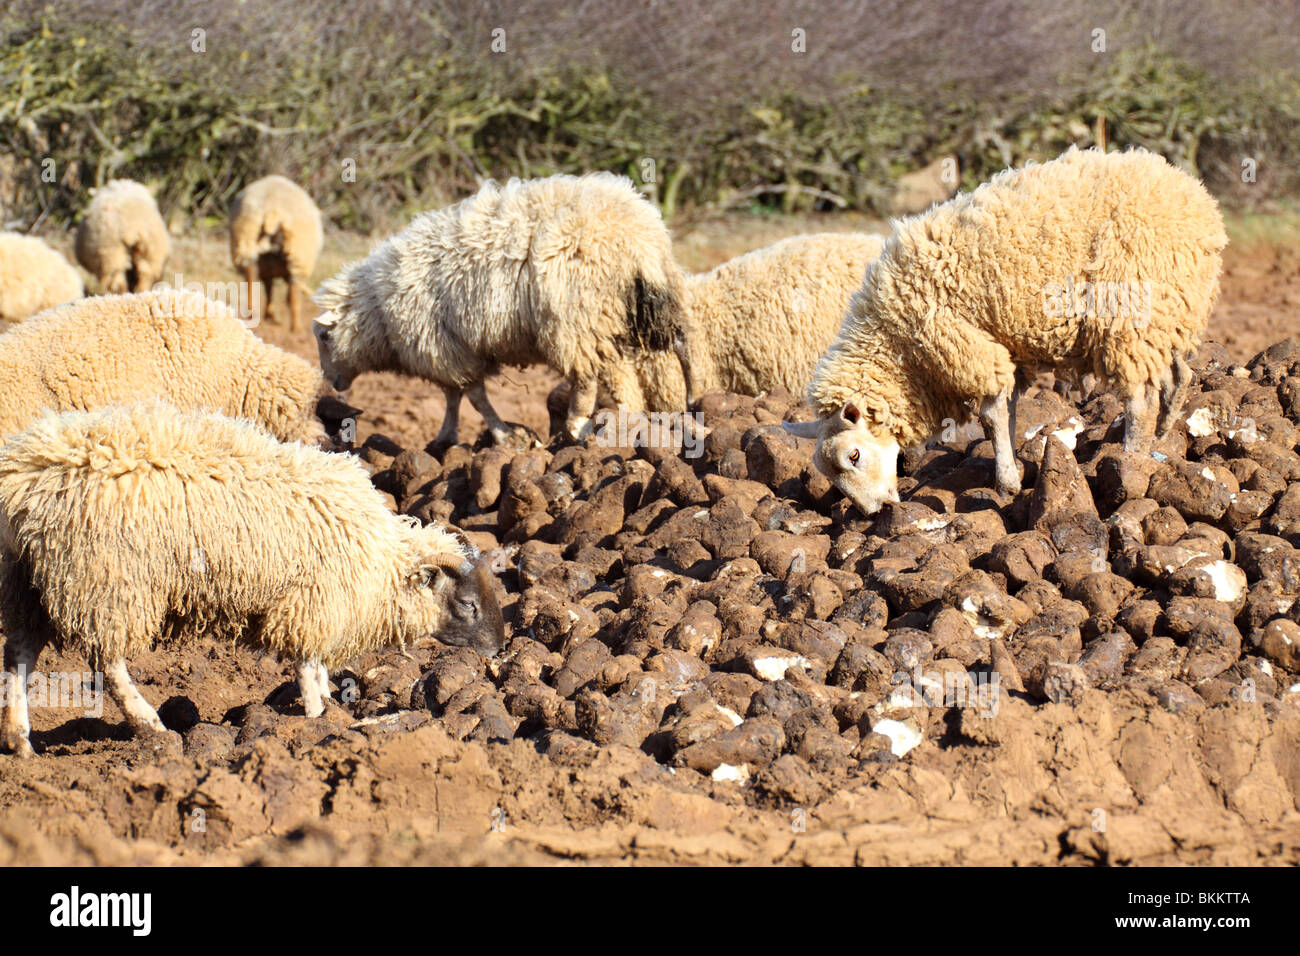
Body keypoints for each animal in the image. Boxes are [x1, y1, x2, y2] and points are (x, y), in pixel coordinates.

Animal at [0, 402, 505, 756]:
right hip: (106, 579)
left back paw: (20, 741)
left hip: (24, 582)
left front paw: (330, 704)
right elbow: (307, 666)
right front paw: (318, 717)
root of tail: (23, 482)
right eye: (467, 605)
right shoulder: (312, 600)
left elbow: (317, 666)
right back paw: (151, 727)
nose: (498, 650)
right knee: (109, 663)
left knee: (19, 656)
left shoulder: (318, 606)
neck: (377, 558)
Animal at [228, 175, 324, 333]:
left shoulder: (268, 270)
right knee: (293, 295)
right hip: (298, 253)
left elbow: (269, 290)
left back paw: (253, 316)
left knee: (251, 278)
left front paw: (270, 316)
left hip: (246, 237)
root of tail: (272, 210)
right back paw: (296, 329)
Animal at [313, 172, 687, 450]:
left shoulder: (444, 348)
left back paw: (576, 428)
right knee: (625, 381)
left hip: (577, 320)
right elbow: (453, 397)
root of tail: (639, 241)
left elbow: (474, 397)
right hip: (613, 321)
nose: (331, 382)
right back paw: (627, 422)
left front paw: (502, 435)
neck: (377, 308)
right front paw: (445, 437)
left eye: (323, 336)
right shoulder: (447, 350)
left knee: (585, 381)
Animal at [784, 146, 1226, 515]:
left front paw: (1007, 483)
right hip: (1168, 311)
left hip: (1129, 307)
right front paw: (1011, 469)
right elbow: (1008, 411)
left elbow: (993, 415)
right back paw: (1163, 435)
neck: (897, 345)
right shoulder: (1001, 345)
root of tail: (1198, 200)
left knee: (1139, 399)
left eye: (854, 455)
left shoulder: (968, 347)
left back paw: (1132, 457)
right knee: (1179, 374)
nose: (874, 512)